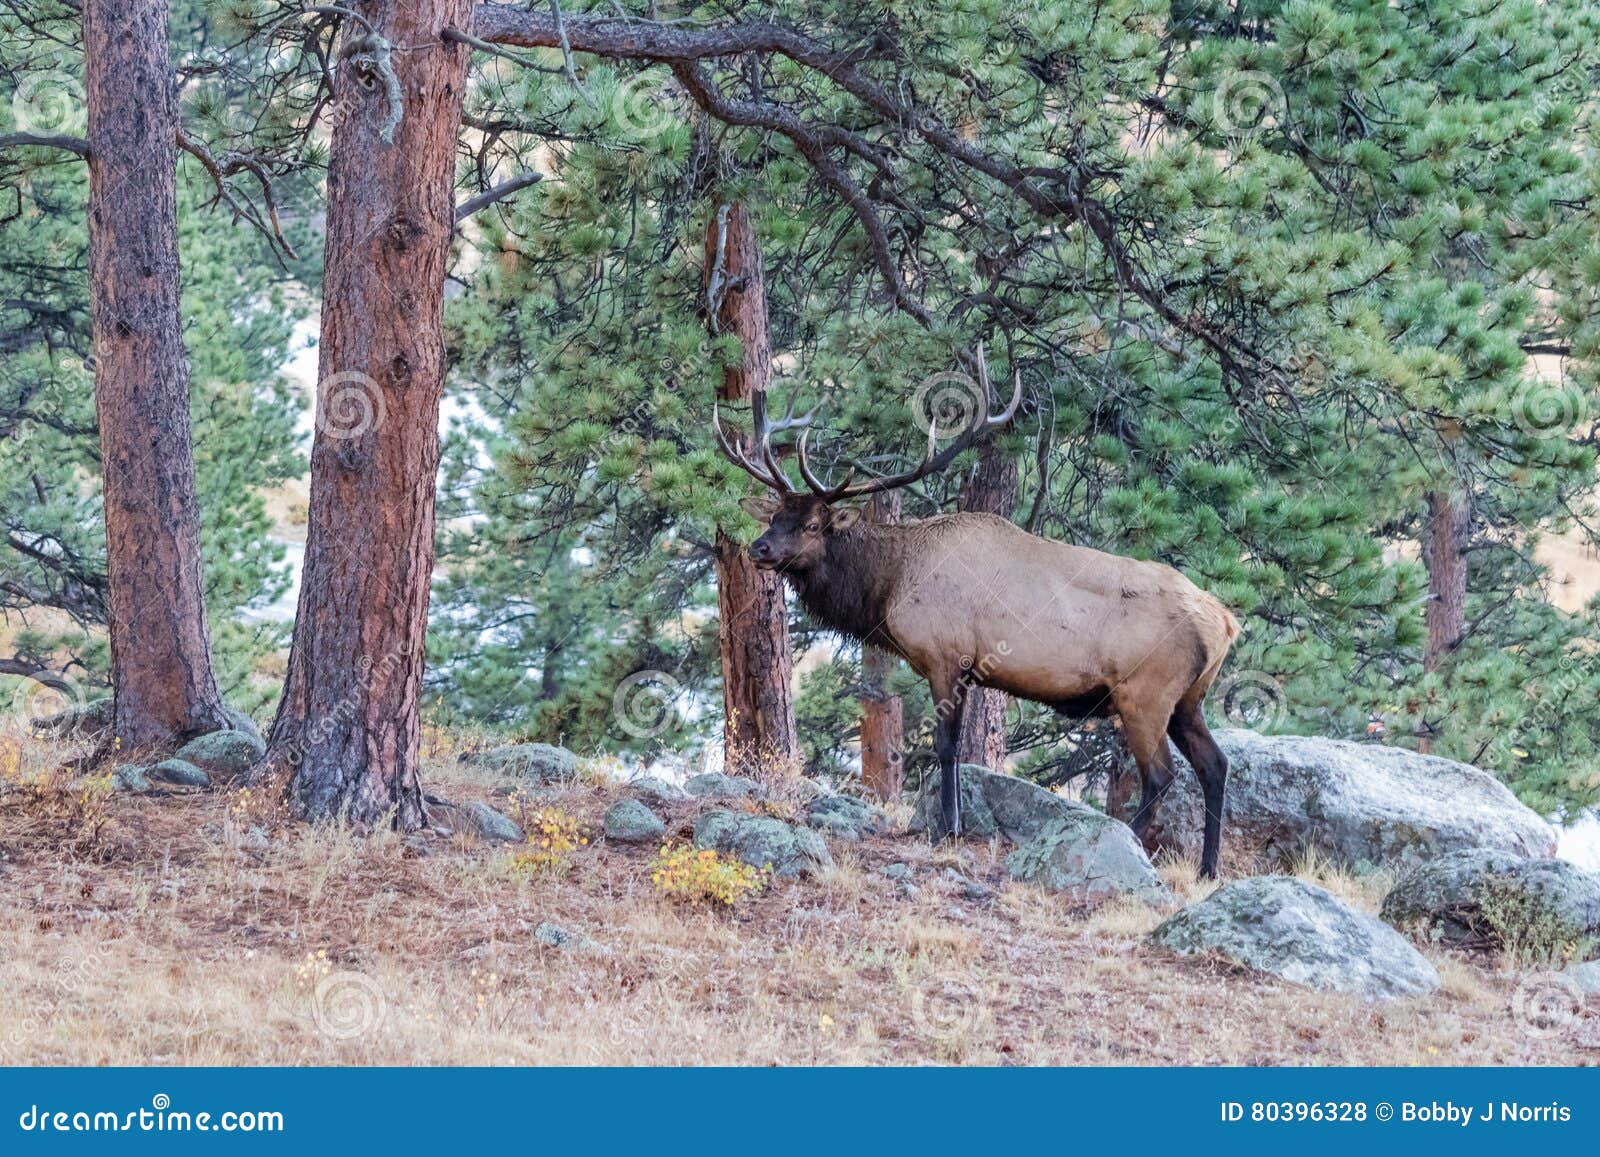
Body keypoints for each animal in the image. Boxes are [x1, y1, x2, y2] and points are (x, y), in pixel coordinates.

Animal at [714, 350, 1241, 877]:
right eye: (774, 516)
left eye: (812, 524)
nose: (759, 549)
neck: (889, 586)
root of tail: (1226, 622)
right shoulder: (969, 669)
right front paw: (957, 821)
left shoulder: (945, 656)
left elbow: (946, 748)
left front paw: (949, 827)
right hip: (1187, 699)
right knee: (1214, 764)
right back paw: (1207, 868)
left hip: (1145, 692)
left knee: (1162, 774)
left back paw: (1122, 837)